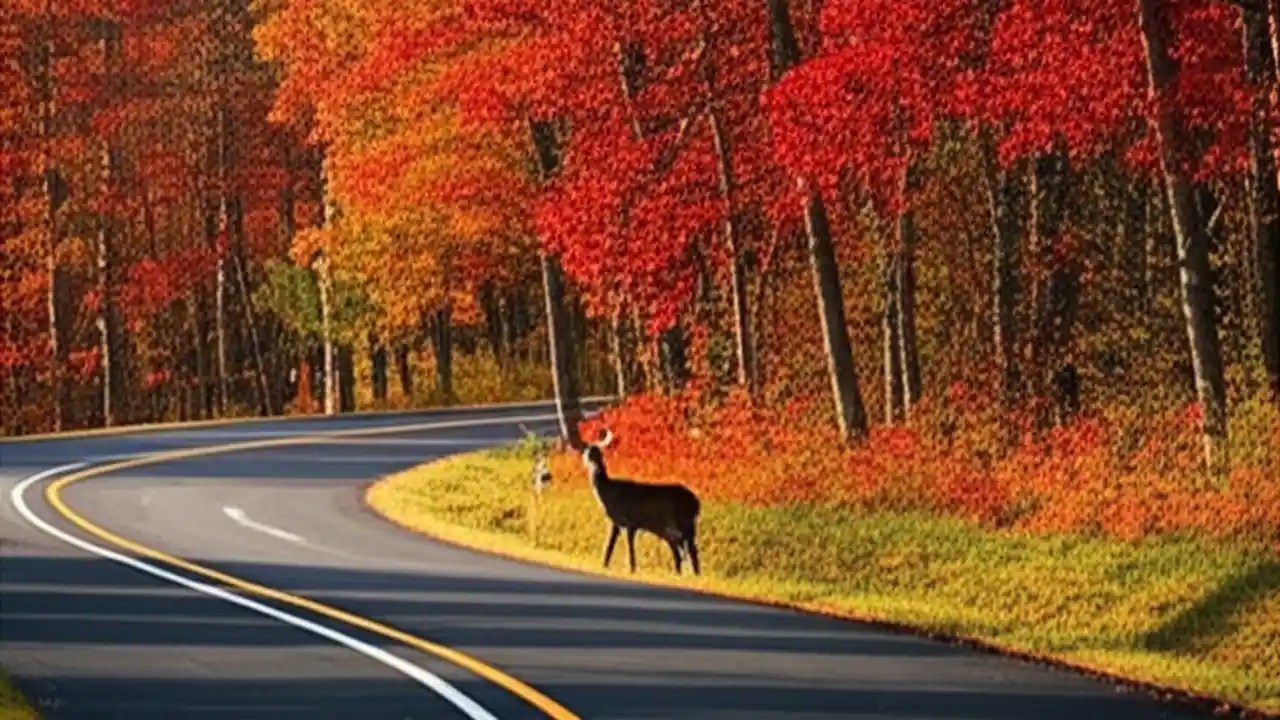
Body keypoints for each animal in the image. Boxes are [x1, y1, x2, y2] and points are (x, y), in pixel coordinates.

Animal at [581, 428, 701, 575]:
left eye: (598, 452)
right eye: (589, 452)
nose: (596, 468)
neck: (608, 492)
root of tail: (697, 503)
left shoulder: (630, 521)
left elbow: (629, 547)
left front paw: (631, 568)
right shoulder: (615, 522)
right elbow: (609, 545)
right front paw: (604, 565)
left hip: (679, 523)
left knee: (687, 549)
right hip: (683, 527)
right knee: (686, 549)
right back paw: (688, 574)